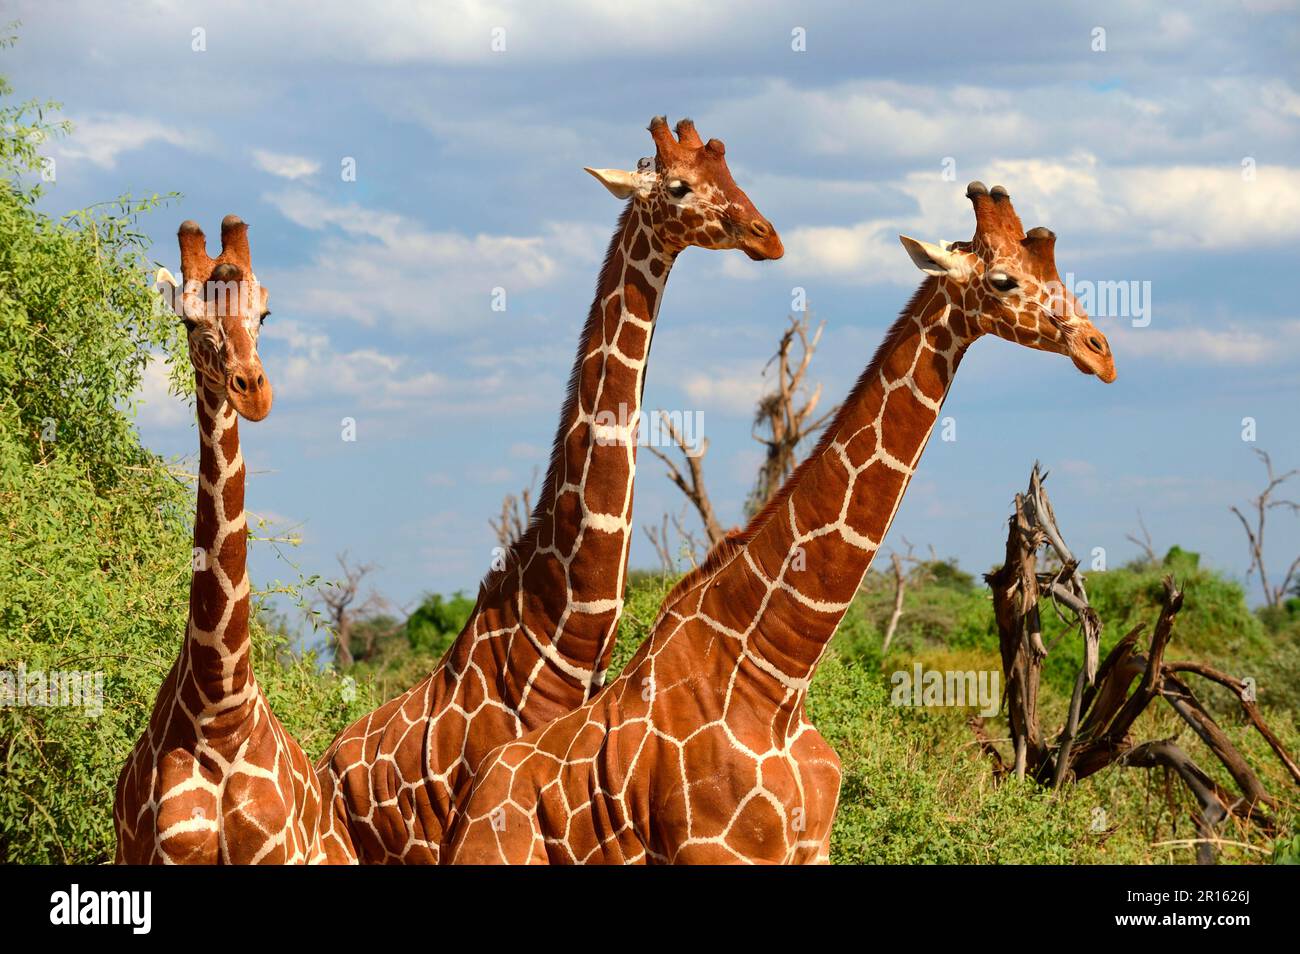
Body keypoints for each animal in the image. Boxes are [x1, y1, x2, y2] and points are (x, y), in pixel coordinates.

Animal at [114, 216, 325, 864]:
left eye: (264, 313)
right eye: (188, 321)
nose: (253, 391)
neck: (219, 705)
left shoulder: (276, 851)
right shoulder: (167, 854)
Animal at [443, 181, 1118, 864]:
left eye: (1058, 273)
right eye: (1005, 280)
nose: (1102, 353)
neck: (776, 681)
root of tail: (463, 811)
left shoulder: (813, 844)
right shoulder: (715, 850)